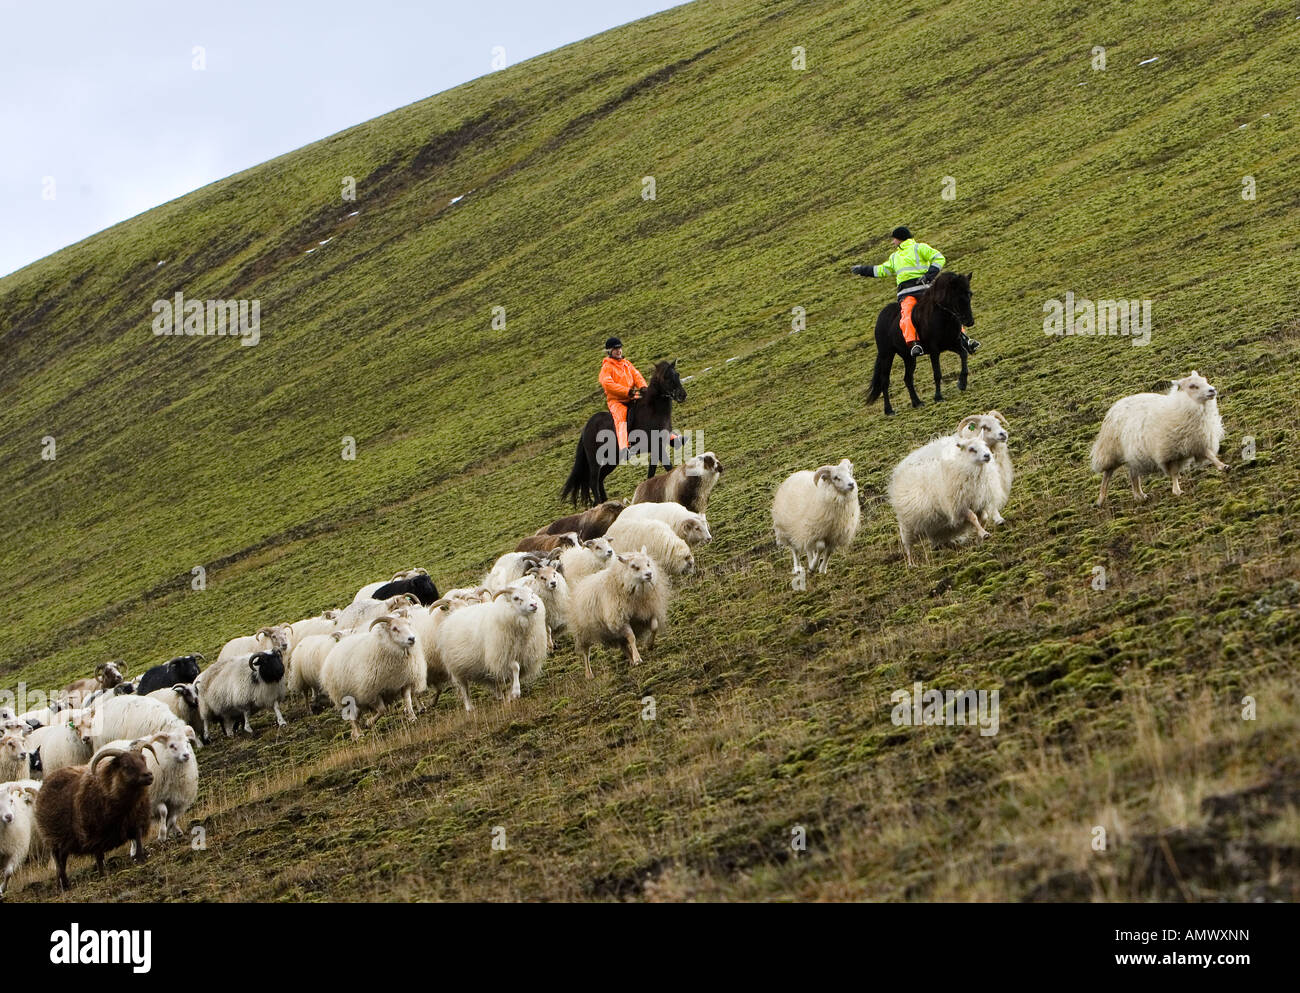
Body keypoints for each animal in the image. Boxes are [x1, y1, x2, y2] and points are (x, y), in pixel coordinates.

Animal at [34, 740, 158, 890]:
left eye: (143, 759)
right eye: (126, 765)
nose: (149, 775)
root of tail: (44, 784)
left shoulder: (135, 822)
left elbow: (138, 841)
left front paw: (140, 860)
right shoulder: (95, 834)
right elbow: (99, 857)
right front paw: (102, 876)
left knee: (62, 863)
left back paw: (63, 885)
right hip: (54, 841)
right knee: (60, 865)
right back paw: (64, 886)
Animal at [569, 548, 669, 679]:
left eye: (648, 563)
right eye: (634, 566)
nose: (649, 574)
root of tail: (580, 582)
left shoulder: (649, 610)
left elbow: (654, 627)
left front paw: (649, 645)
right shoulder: (620, 619)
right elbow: (632, 637)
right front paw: (638, 659)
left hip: (614, 631)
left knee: (623, 645)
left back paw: (630, 659)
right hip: (582, 631)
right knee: (586, 653)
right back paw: (589, 673)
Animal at [771, 459, 861, 589]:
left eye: (849, 473)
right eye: (835, 477)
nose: (851, 484)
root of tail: (795, 474)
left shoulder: (834, 535)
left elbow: (828, 552)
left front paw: (822, 569)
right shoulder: (817, 531)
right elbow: (820, 547)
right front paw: (813, 567)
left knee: (809, 548)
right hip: (790, 529)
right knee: (795, 549)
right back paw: (799, 567)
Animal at [889, 436, 998, 566]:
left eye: (985, 445)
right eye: (971, 449)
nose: (987, 455)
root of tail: (899, 468)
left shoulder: (978, 502)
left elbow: (984, 518)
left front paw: (980, 537)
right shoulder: (958, 506)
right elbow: (973, 518)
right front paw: (983, 534)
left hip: (937, 526)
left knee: (940, 541)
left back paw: (954, 547)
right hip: (907, 524)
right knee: (908, 545)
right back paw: (911, 564)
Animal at [1091, 371, 1229, 506]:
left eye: (1205, 380)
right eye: (1192, 386)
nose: (1212, 390)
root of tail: (1116, 405)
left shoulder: (1196, 442)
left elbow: (1210, 455)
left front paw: (1223, 466)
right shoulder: (1169, 453)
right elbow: (1174, 472)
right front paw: (1177, 490)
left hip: (1132, 454)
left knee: (1133, 474)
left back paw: (1139, 495)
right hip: (1110, 451)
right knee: (1107, 474)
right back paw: (1101, 499)